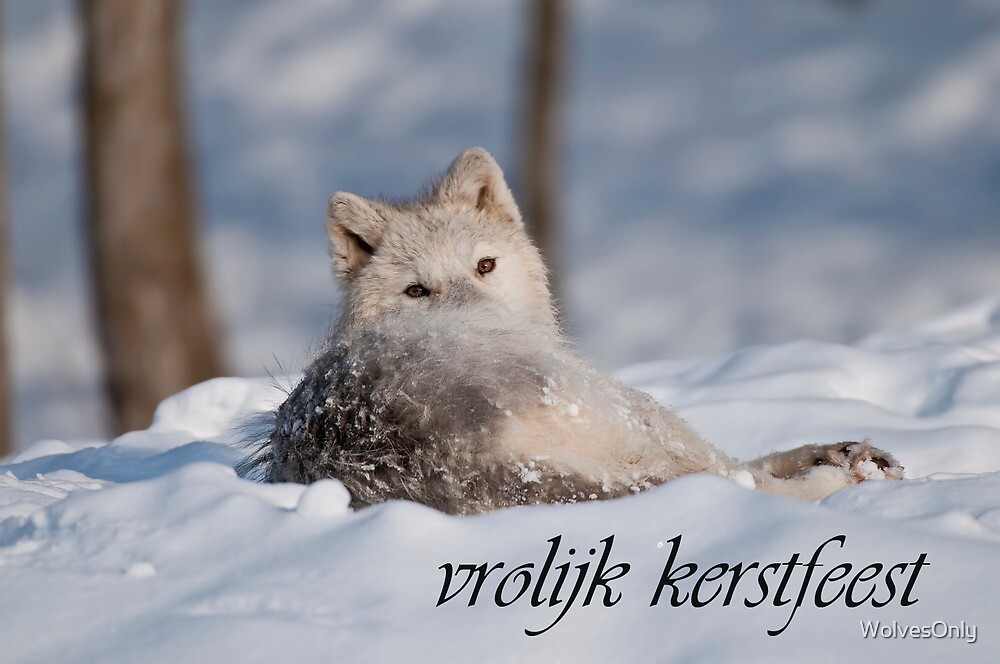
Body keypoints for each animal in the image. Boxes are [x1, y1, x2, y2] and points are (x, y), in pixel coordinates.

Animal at [239, 147, 903, 514]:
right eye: (416, 291)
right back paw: (844, 470)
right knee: (729, 474)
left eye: (486, 265)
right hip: (620, 406)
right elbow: (734, 465)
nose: (479, 314)